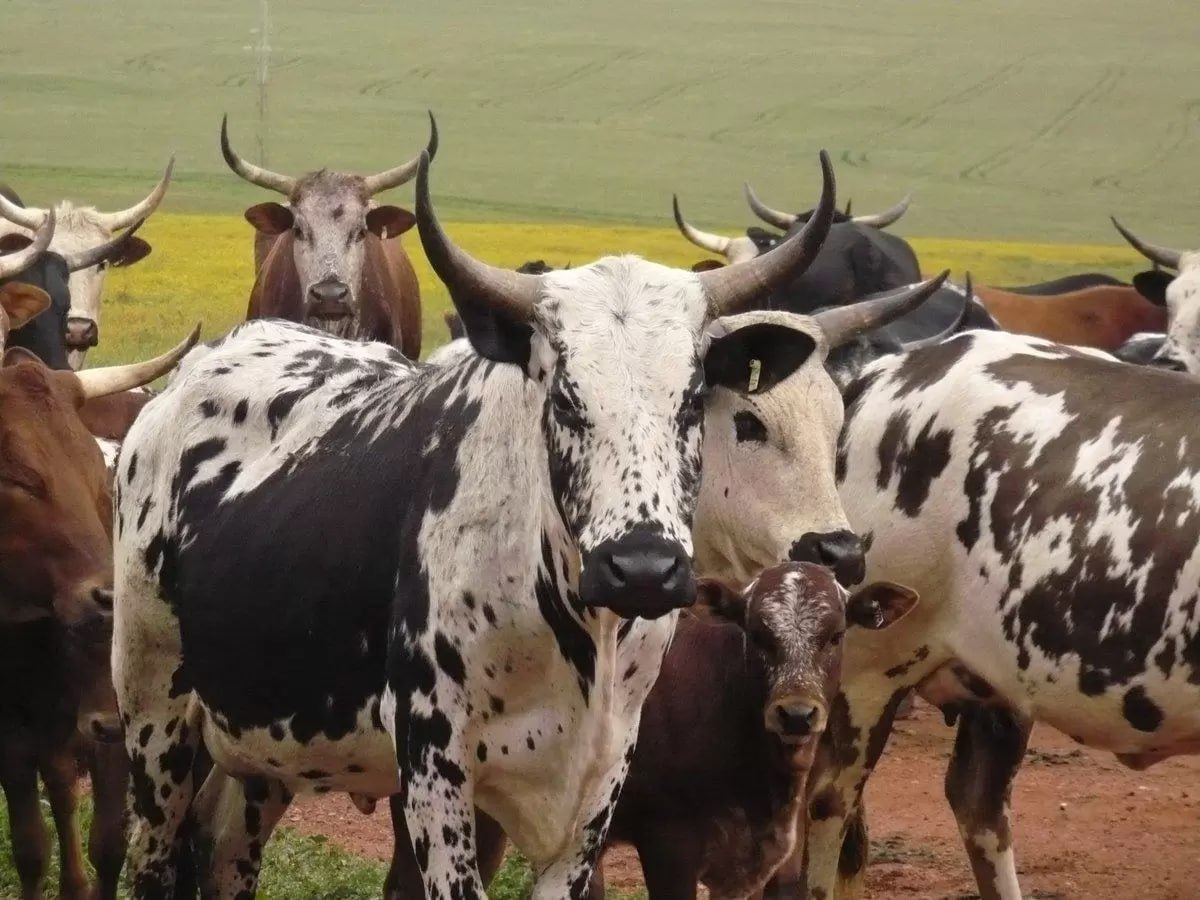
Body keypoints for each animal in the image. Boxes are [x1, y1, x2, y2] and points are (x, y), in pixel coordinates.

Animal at [0, 277, 198, 900]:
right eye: (18, 477)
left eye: (95, 474)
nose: (108, 598)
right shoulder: (17, 740)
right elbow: (32, 846)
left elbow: (109, 843)